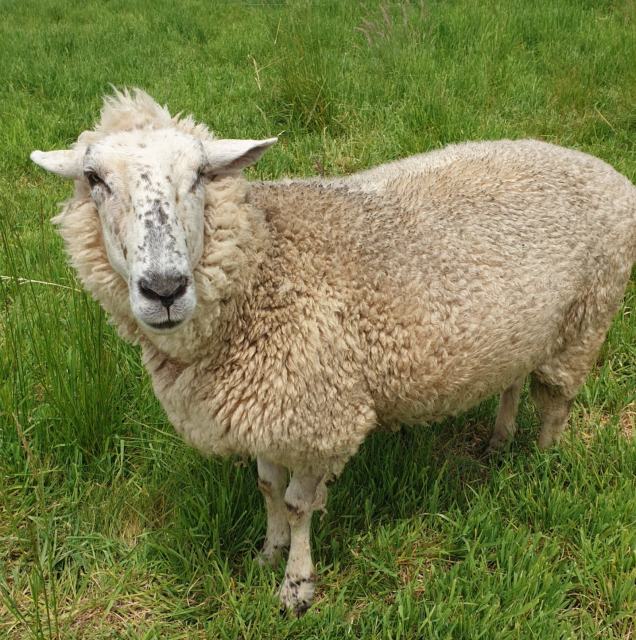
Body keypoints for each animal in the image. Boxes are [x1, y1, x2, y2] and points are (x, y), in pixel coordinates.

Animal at [31, 89, 636, 615]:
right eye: (94, 179)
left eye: (201, 175)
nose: (164, 288)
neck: (264, 265)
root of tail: (598, 165)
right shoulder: (269, 408)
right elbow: (267, 487)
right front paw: (266, 555)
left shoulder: (318, 412)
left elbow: (299, 504)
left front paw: (296, 586)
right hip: (525, 330)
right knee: (512, 382)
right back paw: (498, 441)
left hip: (586, 317)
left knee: (555, 400)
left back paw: (540, 461)